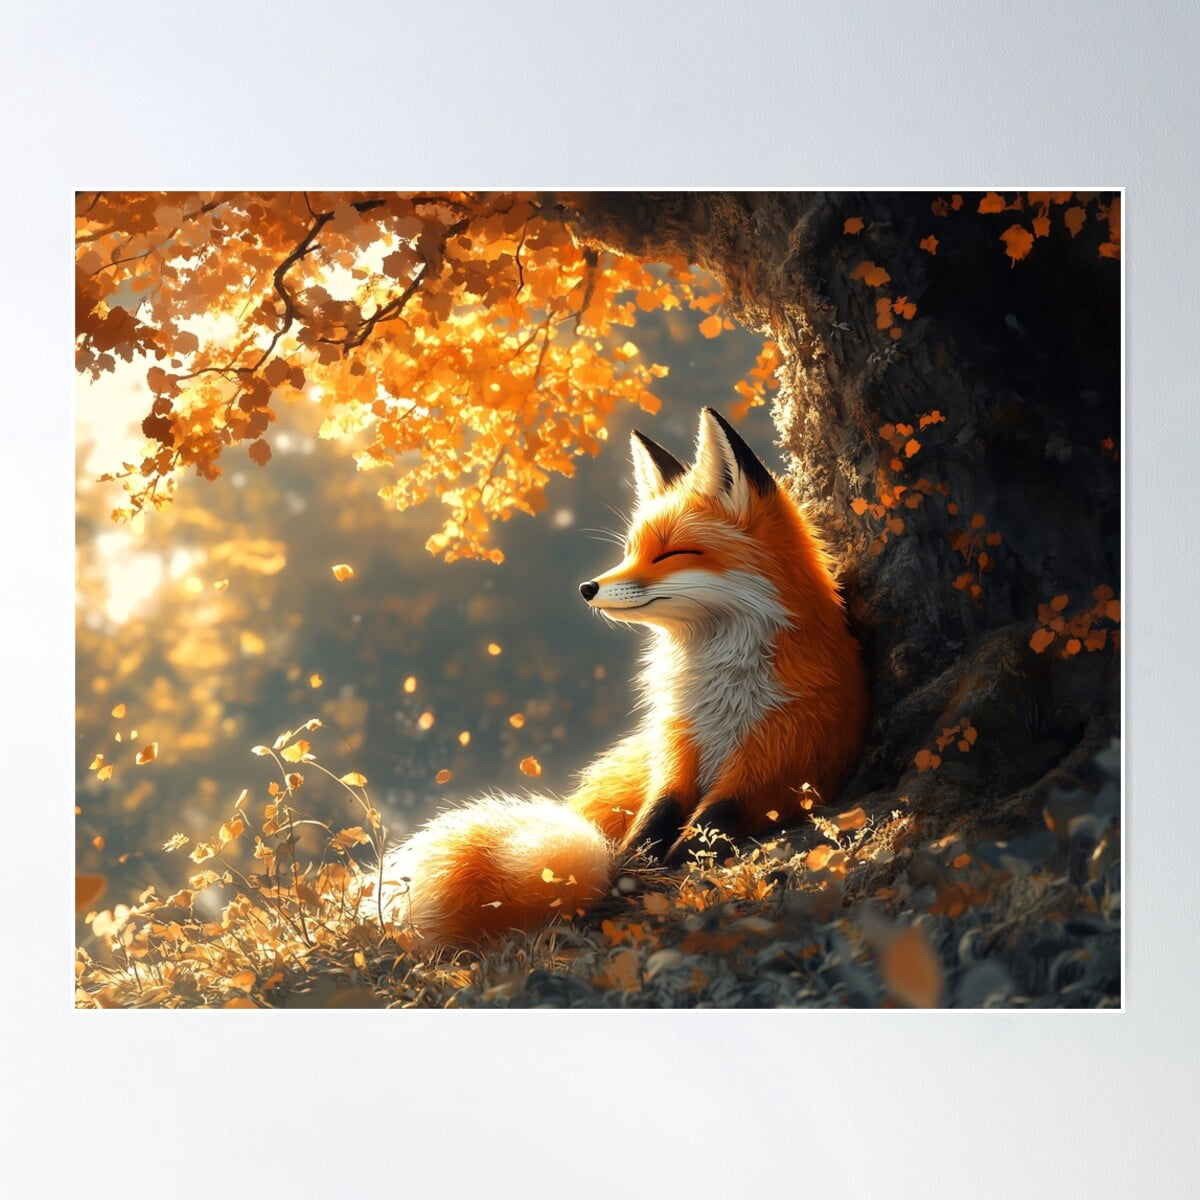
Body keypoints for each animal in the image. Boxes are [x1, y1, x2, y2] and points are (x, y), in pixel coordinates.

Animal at [372, 408, 869, 947]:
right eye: (631, 550)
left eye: (670, 554)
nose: (587, 588)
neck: (722, 696)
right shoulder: (676, 747)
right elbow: (655, 817)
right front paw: (630, 867)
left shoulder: (787, 756)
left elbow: (714, 821)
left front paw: (660, 870)